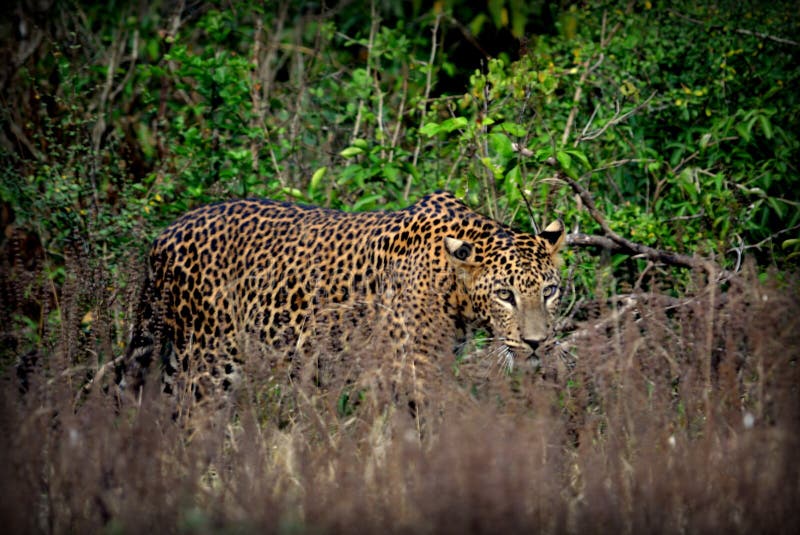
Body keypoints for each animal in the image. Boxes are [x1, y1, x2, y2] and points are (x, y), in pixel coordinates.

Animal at [121, 191, 565, 406]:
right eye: (505, 294)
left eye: (550, 291)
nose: (536, 343)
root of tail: (164, 235)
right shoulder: (414, 369)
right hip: (209, 360)